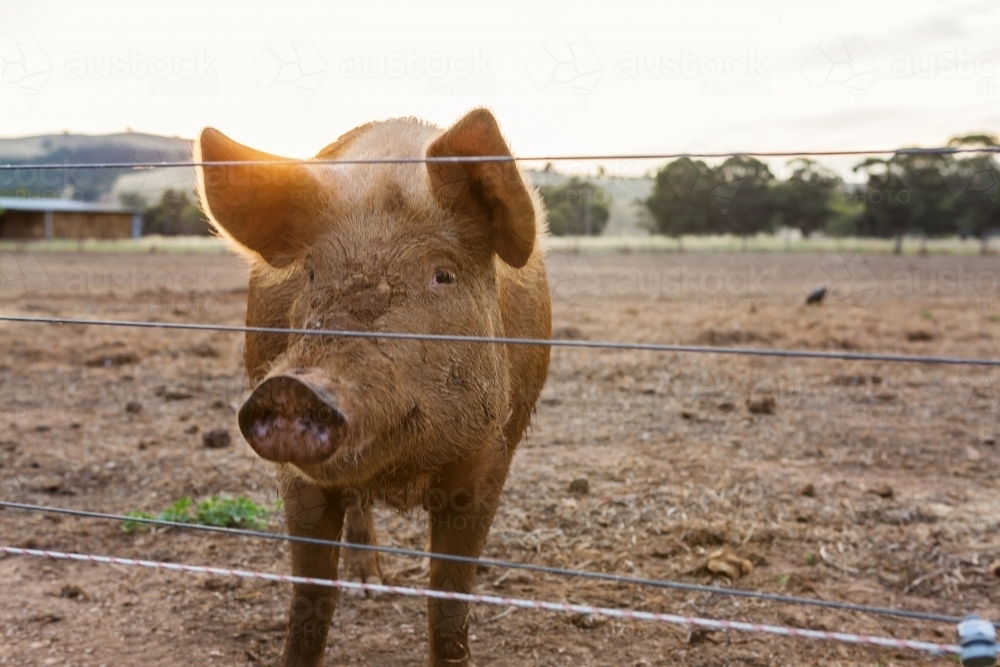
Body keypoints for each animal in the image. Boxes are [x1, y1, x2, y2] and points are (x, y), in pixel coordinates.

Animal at [196, 108, 551, 667]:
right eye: (311, 272)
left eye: (442, 275)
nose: (293, 388)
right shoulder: (296, 476)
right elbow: (311, 595)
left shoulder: (492, 456)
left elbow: (449, 600)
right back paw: (370, 587)